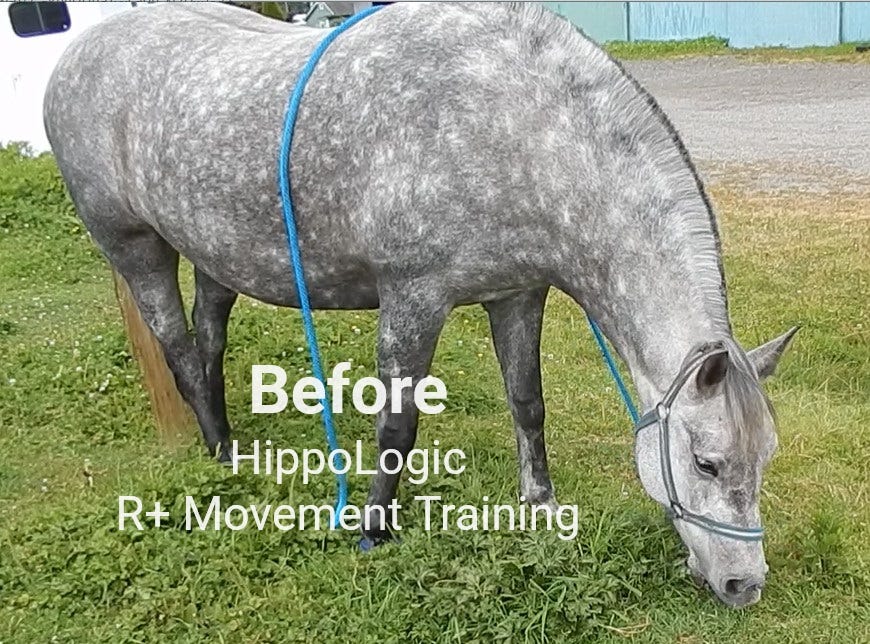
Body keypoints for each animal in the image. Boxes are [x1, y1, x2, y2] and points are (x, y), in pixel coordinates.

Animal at [44, 2, 796, 607]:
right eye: (707, 463)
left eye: (766, 457)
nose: (744, 585)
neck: (509, 130)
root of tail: (75, 56)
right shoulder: (413, 298)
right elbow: (397, 428)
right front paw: (372, 534)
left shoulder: (516, 294)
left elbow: (528, 403)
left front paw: (540, 506)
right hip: (133, 246)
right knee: (178, 348)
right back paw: (221, 459)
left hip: (213, 252)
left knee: (208, 339)